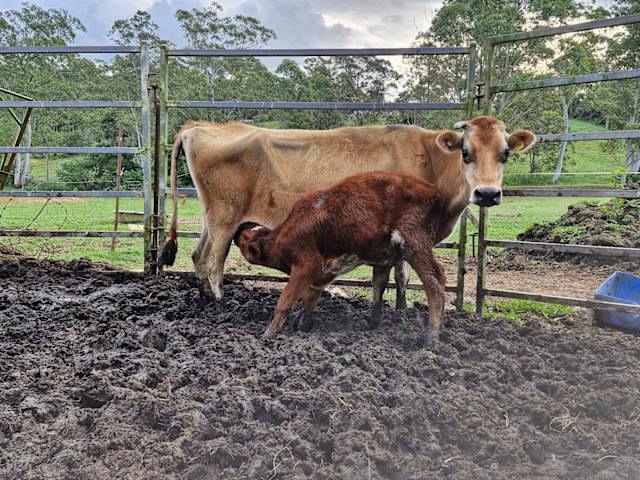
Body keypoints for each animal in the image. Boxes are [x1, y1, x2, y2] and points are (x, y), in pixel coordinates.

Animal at [159, 116, 536, 311]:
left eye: (505, 153)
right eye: (465, 152)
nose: (487, 193)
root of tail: (200, 126)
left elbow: (401, 277)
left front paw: (399, 310)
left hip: (211, 216)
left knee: (198, 255)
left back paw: (204, 300)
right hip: (225, 217)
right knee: (214, 262)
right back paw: (221, 305)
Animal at [233, 171, 448, 342]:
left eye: (244, 241)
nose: (239, 228)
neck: (280, 239)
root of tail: (433, 192)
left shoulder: (306, 265)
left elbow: (284, 301)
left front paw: (269, 333)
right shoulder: (320, 275)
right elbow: (310, 299)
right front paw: (303, 325)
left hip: (413, 242)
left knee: (434, 280)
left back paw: (431, 336)